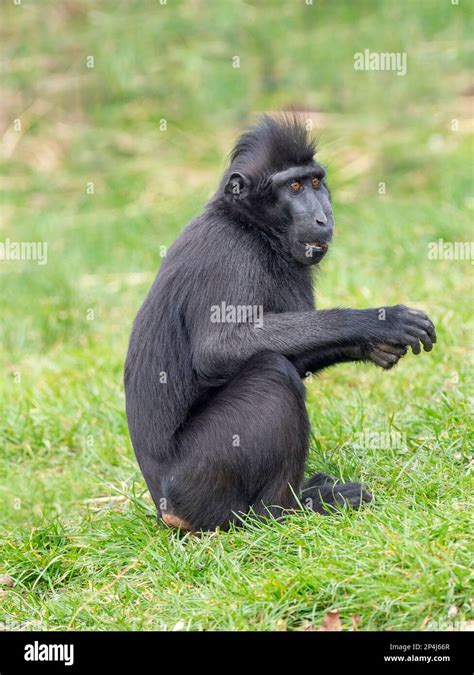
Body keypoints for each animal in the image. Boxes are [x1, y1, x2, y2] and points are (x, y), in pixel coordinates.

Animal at [124, 114, 436, 533]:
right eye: (294, 187)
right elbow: (217, 350)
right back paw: (289, 508)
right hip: (198, 483)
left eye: (316, 182)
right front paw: (378, 321)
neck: (250, 225)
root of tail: (165, 509)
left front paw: (376, 345)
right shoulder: (230, 252)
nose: (323, 217)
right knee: (272, 372)